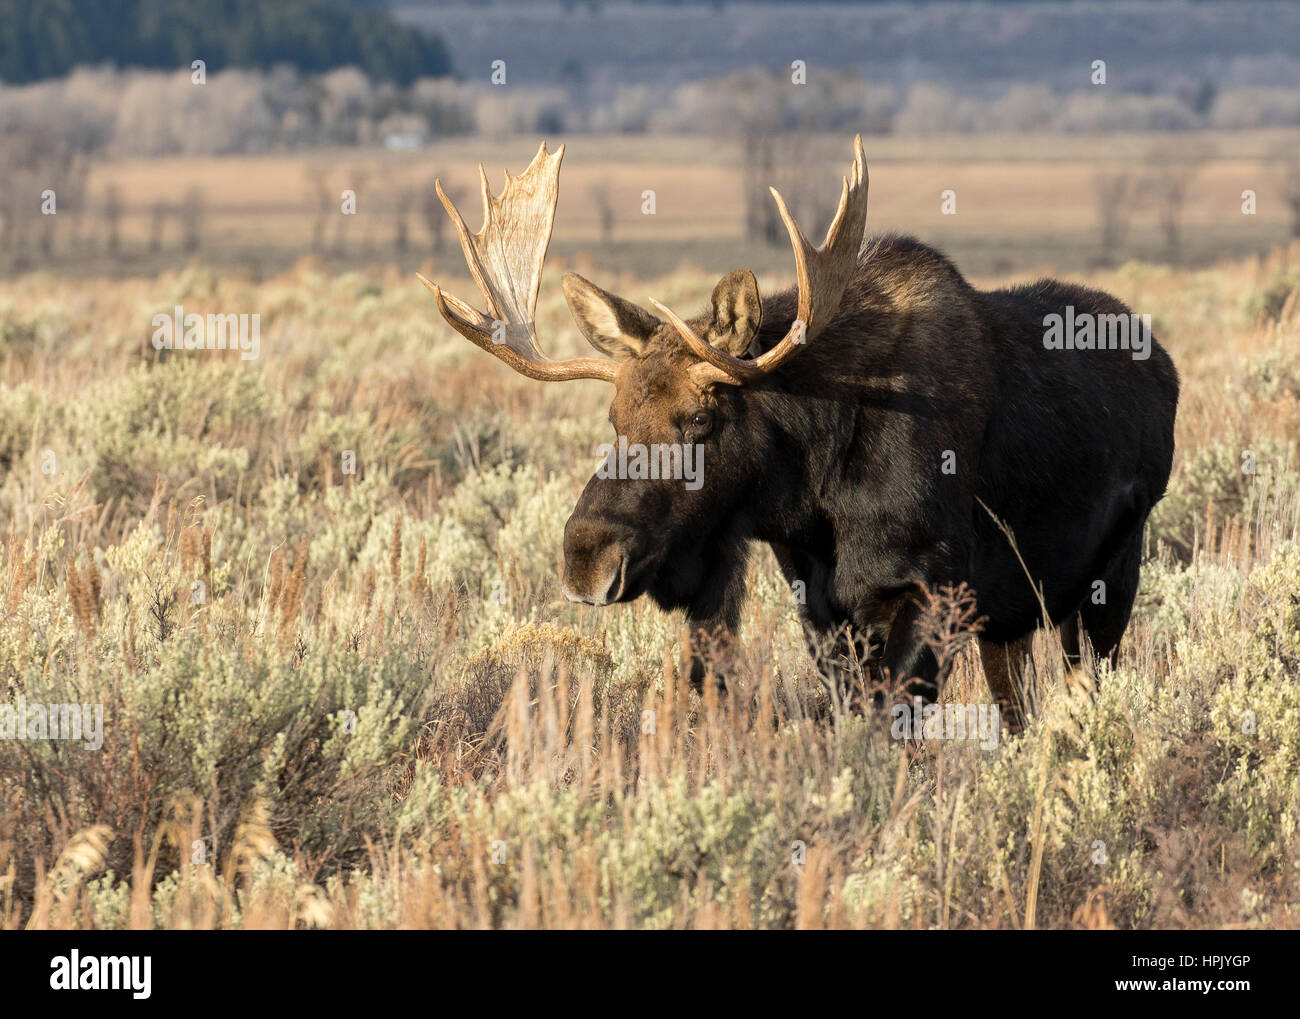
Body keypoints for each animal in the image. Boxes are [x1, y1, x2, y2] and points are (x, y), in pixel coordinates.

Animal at [418, 138, 1179, 729]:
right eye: (614, 418)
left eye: (699, 419)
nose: (586, 556)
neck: (816, 490)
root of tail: (1165, 366)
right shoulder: (820, 602)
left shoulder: (934, 587)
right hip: (1017, 616)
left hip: (1108, 580)